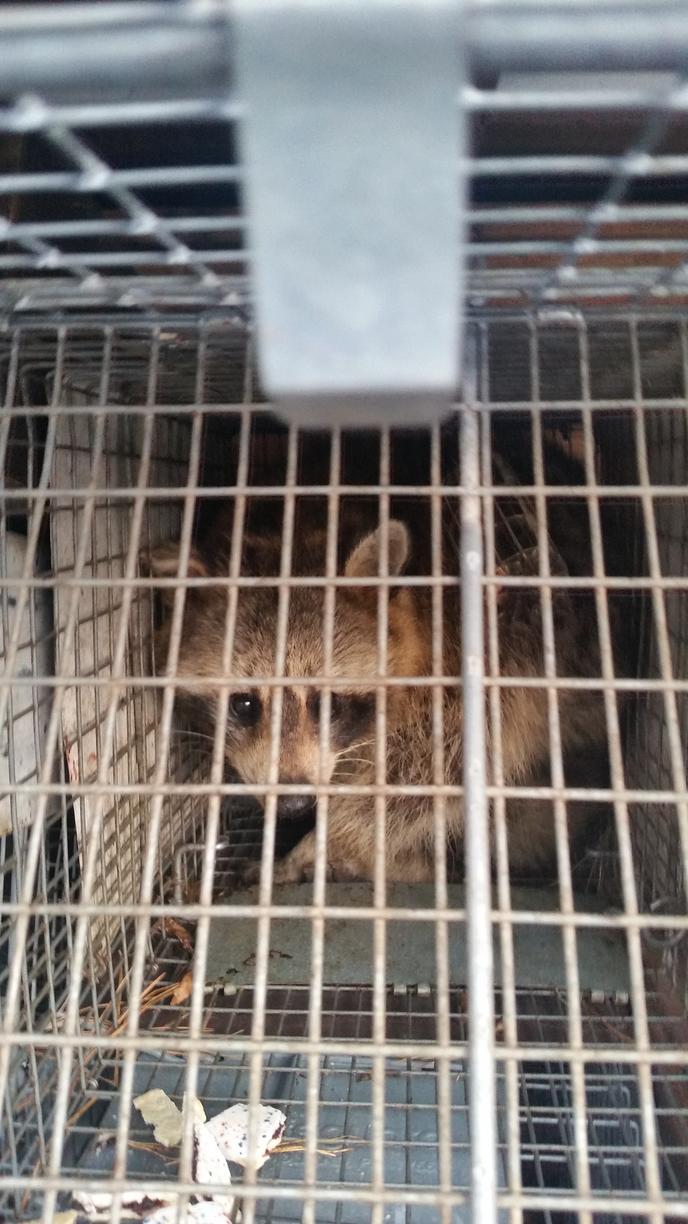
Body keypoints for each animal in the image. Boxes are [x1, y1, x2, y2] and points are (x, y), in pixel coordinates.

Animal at [149, 428, 630, 885]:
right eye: (245, 704)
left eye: (329, 703)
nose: (293, 802)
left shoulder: (468, 655)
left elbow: (425, 773)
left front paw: (325, 840)